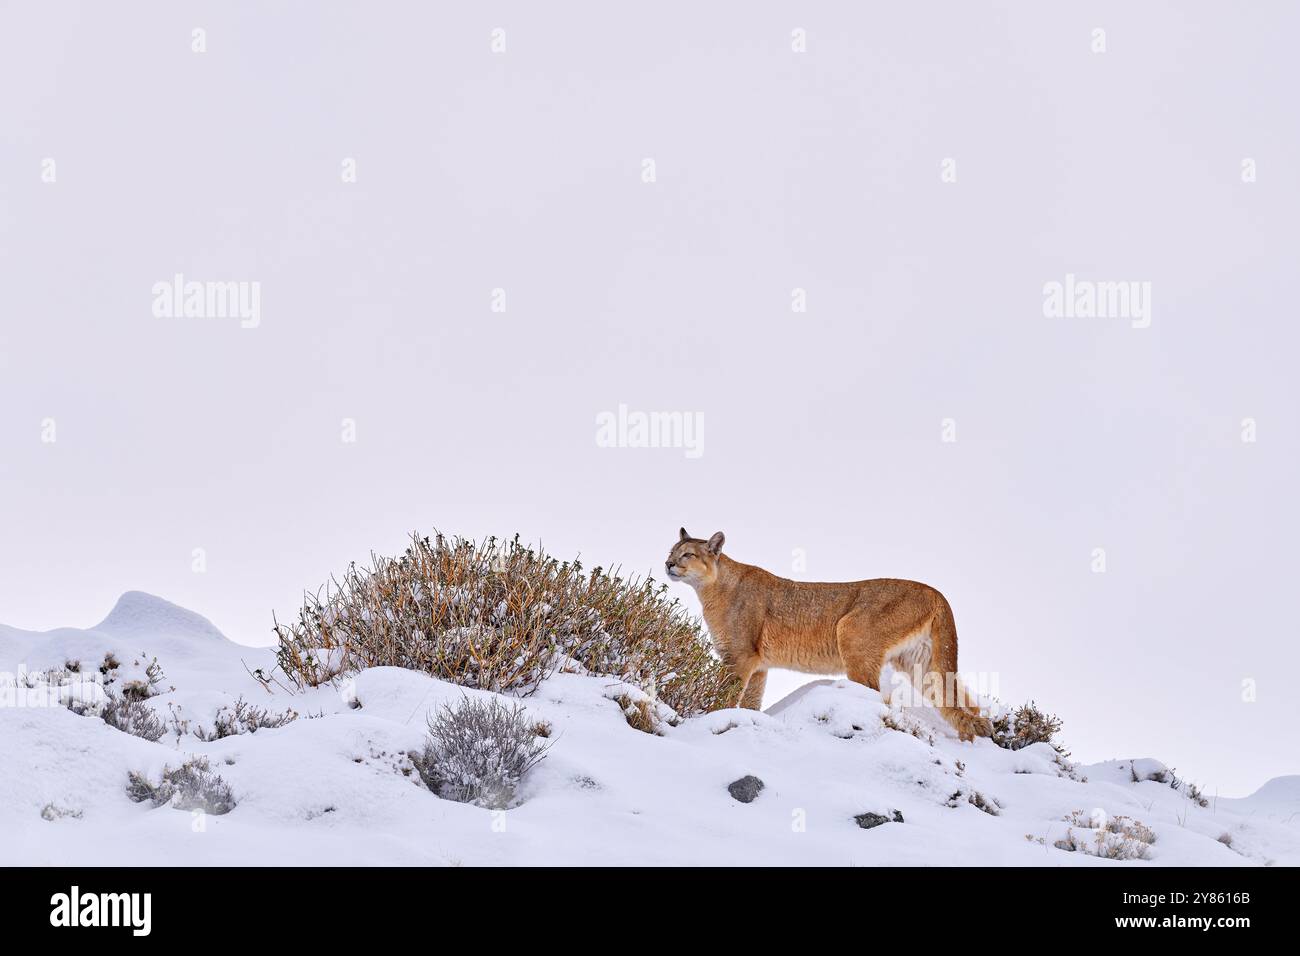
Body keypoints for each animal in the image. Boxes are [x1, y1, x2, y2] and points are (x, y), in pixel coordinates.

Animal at [666, 528, 992, 740]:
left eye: (688, 554)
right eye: (670, 552)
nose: (668, 564)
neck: (713, 588)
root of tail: (935, 591)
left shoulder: (740, 657)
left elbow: (727, 694)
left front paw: (713, 716)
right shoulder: (758, 665)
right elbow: (751, 702)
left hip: (851, 631)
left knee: (875, 694)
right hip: (919, 662)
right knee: (959, 701)